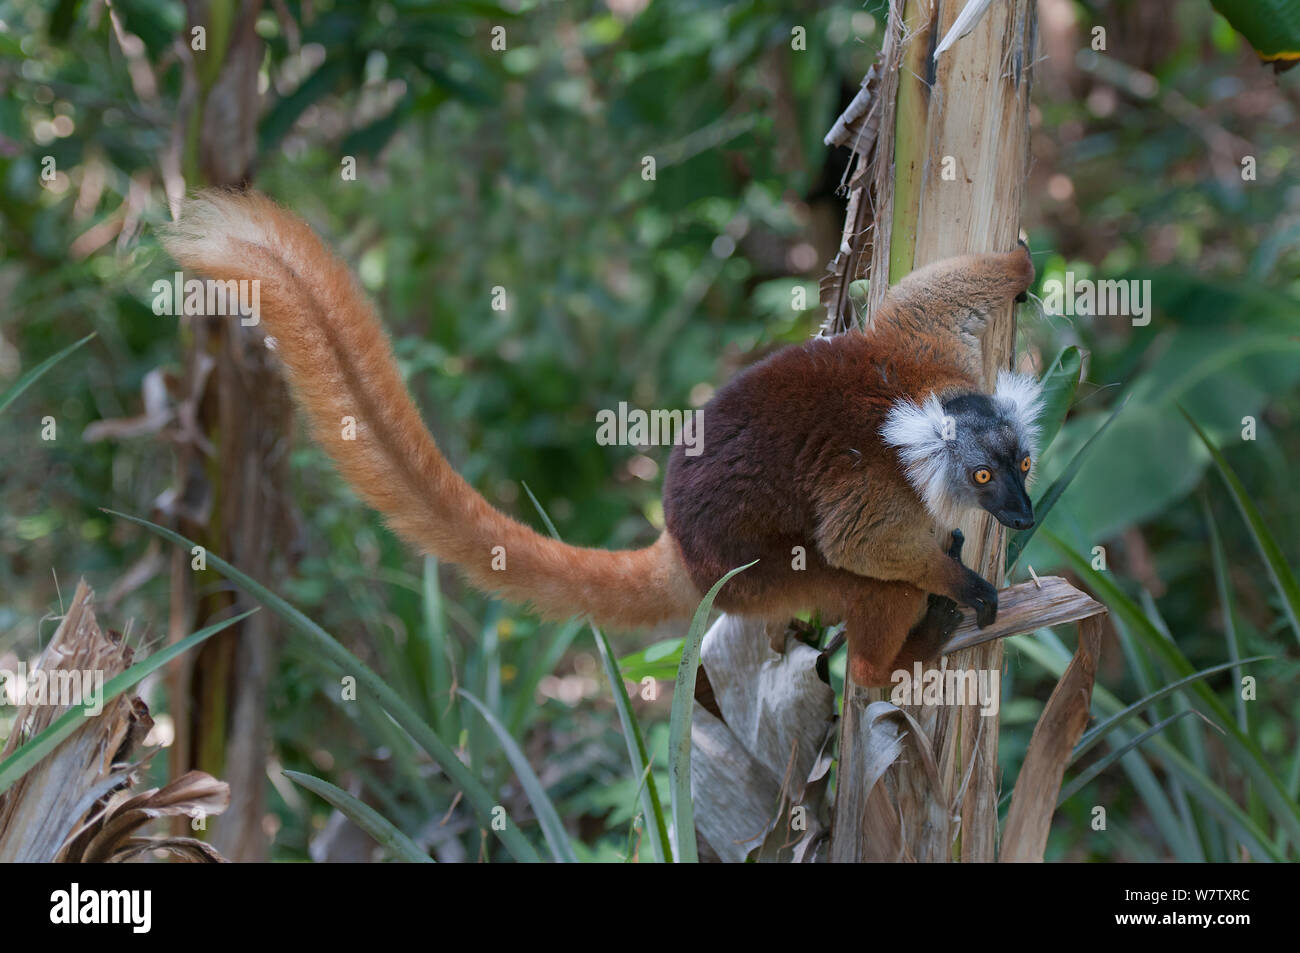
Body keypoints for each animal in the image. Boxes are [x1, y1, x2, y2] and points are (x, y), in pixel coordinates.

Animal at [159, 190, 1040, 688]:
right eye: (984, 476)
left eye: (1024, 463)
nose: (1026, 515)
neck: (922, 404)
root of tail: (682, 551)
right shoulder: (877, 473)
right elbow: (860, 540)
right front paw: (960, 582)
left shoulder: (929, 351)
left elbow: (930, 293)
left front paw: (1020, 264)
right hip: (760, 583)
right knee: (860, 587)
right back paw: (892, 660)